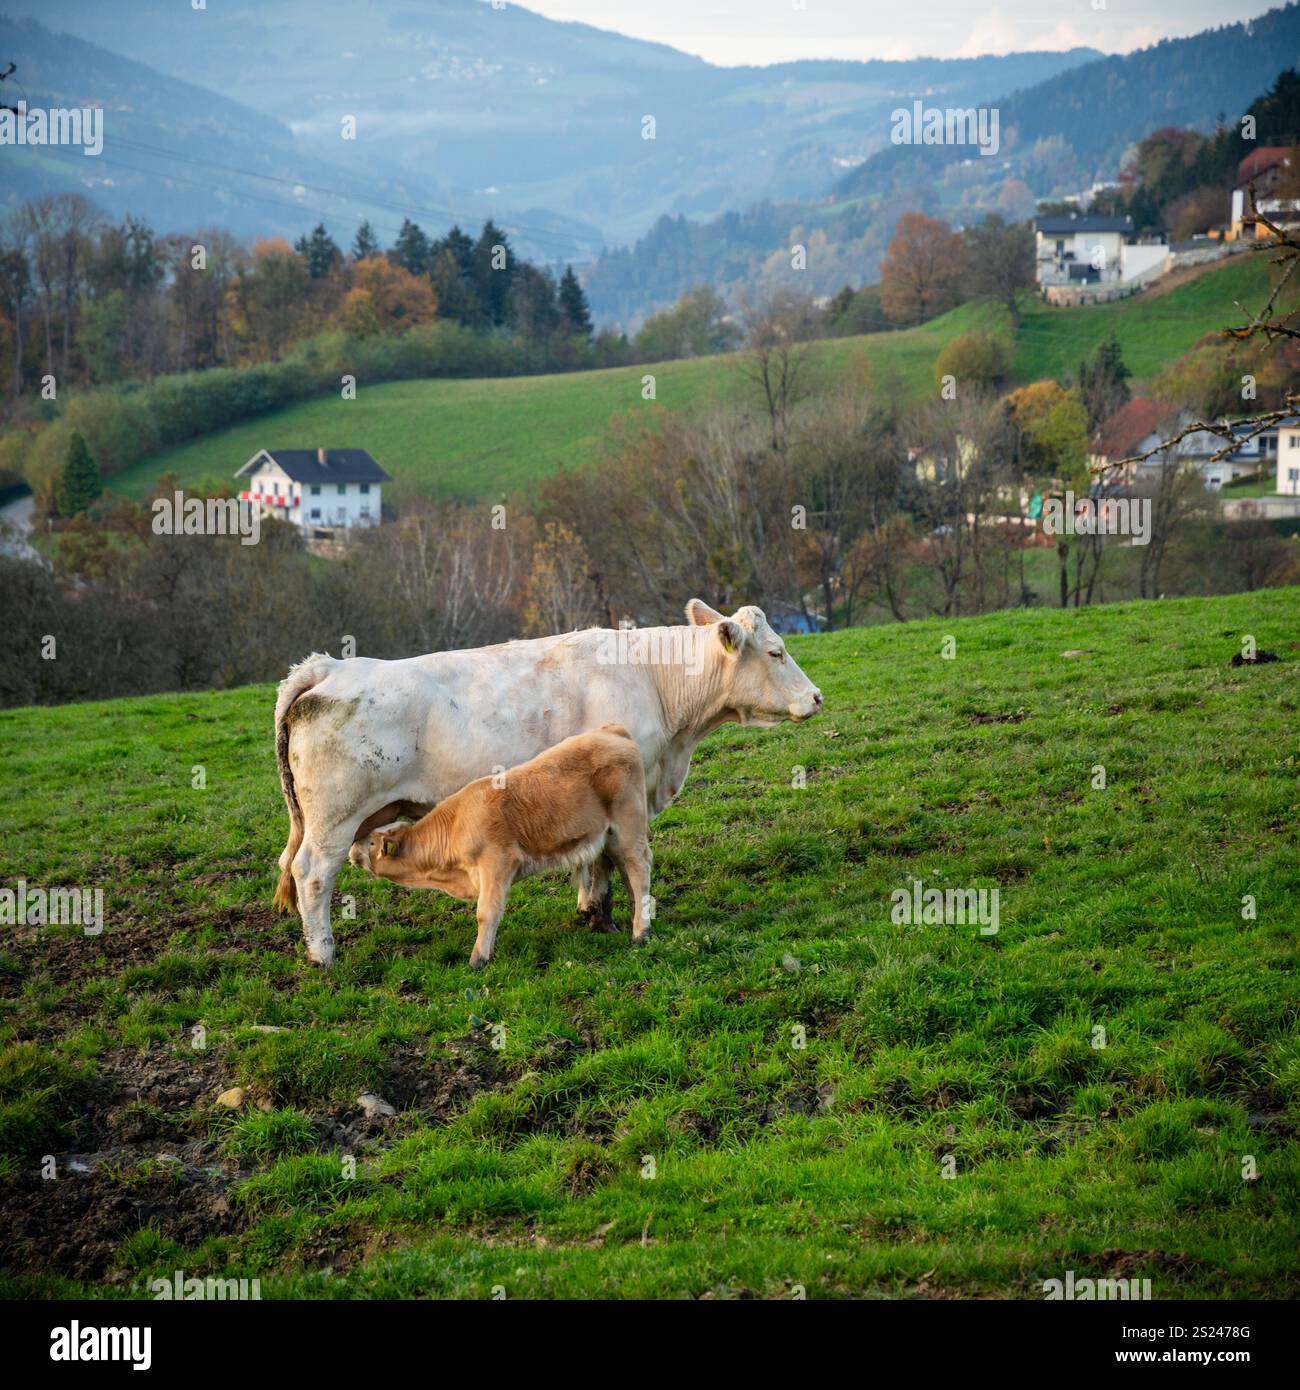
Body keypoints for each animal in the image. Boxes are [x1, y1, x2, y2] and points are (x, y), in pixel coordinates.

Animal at [348, 724, 652, 968]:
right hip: (611, 836)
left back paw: (641, 933)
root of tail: (611, 731)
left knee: (639, 870)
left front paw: (478, 958)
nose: (351, 850)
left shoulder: (497, 863)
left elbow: (487, 912)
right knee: (625, 872)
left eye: (372, 842)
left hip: (629, 825)